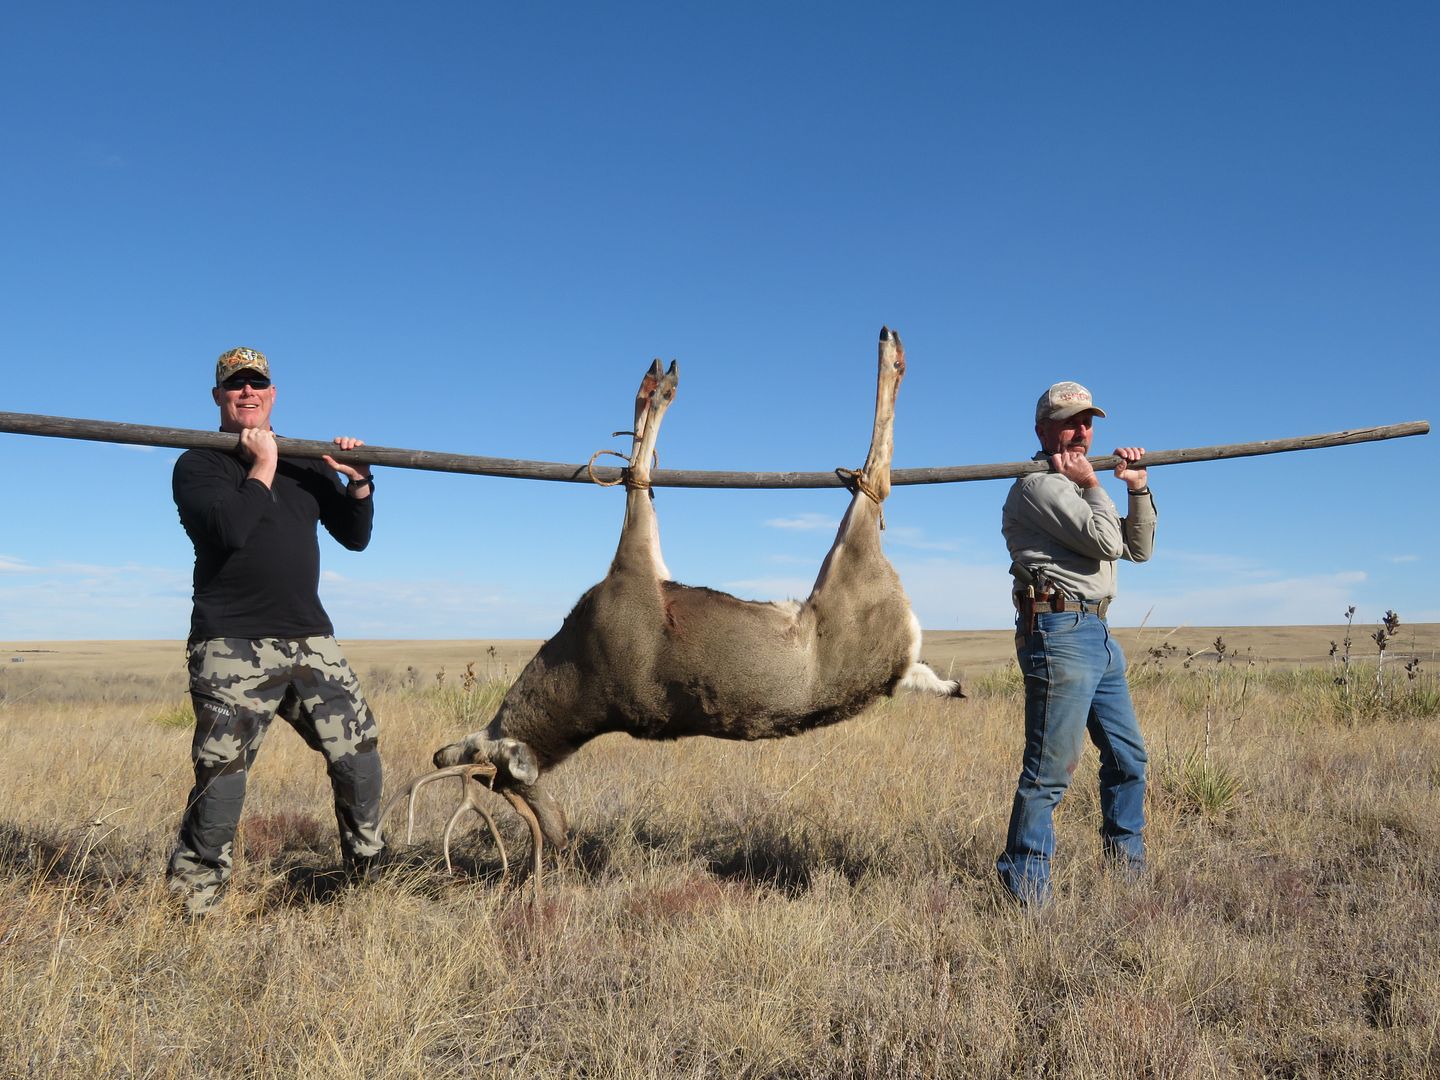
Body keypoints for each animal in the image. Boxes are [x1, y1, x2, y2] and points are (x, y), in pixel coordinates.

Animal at [387, 327, 963, 896]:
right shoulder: (634, 573)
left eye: (475, 759)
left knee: (876, 477)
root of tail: (898, 665)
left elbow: (638, 473)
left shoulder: (630, 575)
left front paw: (652, 388)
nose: (439, 755)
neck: (578, 662)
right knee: (877, 480)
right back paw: (890, 355)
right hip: (855, 570)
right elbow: (640, 481)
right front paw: (659, 389)